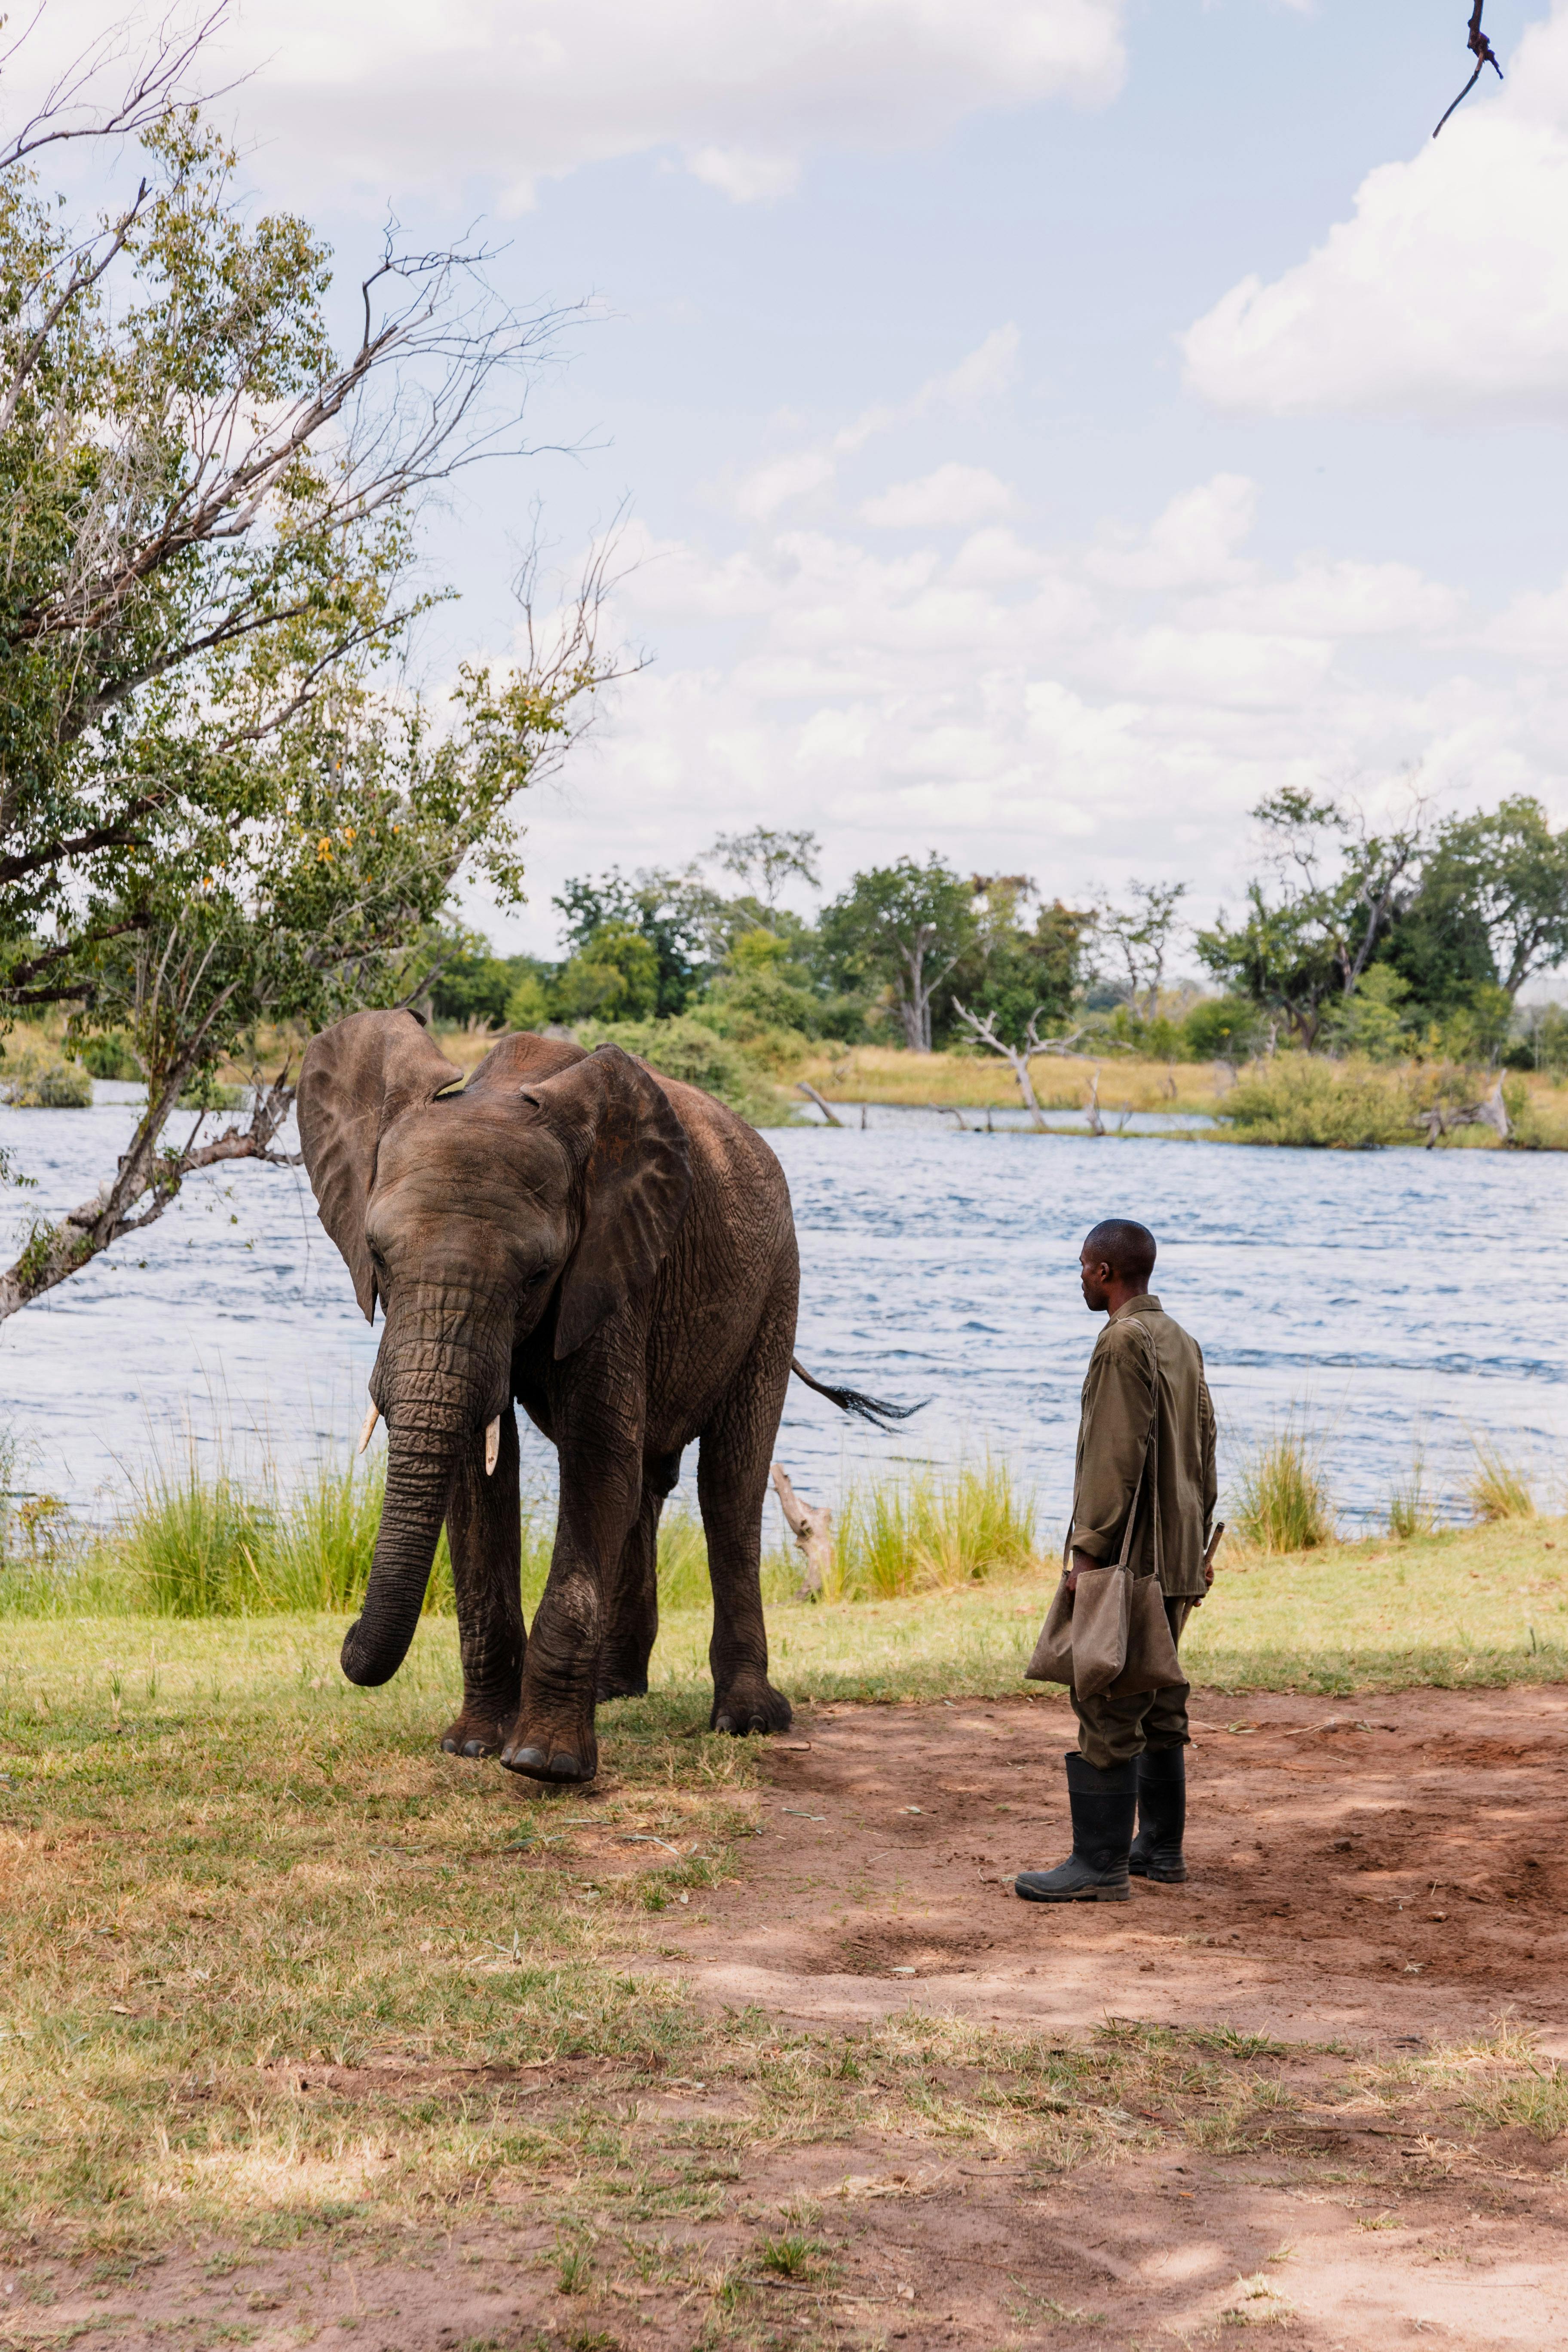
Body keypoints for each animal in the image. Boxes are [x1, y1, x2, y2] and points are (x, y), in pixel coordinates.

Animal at [296, 1010, 905, 1783]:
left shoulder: (613, 1268)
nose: (345, 1639)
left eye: (537, 1274)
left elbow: (594, 1458)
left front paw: (543, 1763)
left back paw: (746, 1720)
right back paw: (617, 1690)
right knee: (646, 1482)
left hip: (777, 1285)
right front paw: (472, 1744)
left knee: (728, 1483)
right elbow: (481, 1477)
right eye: (376, 1255)